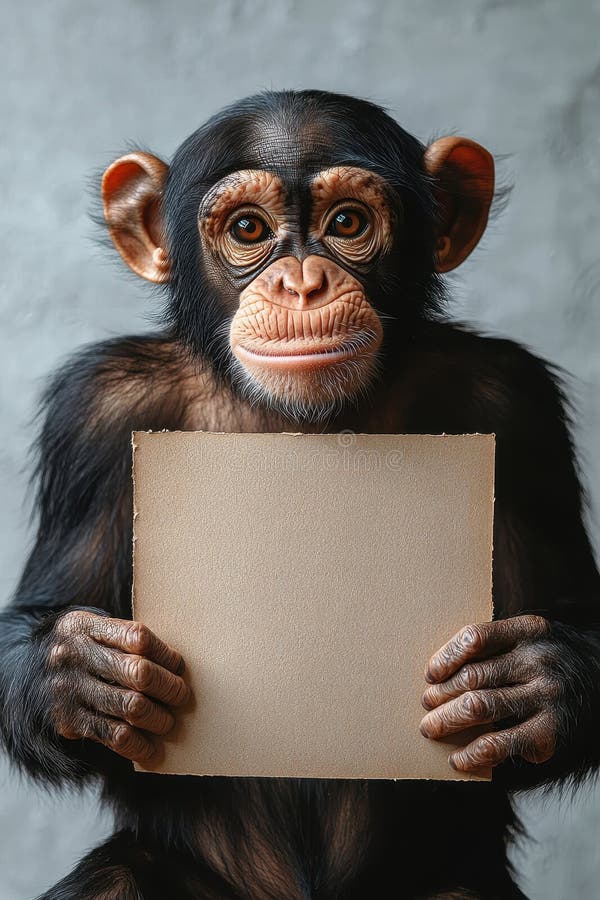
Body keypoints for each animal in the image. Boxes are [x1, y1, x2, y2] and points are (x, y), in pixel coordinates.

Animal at [1, 89, 599, 899]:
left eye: (346, 223)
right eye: (249, 230)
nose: (303, 281)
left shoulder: (517, 403)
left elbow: (575, 612)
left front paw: (530, 681)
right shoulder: (94, 412)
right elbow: (47, 604)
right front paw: (79, 675)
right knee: (116, 884)